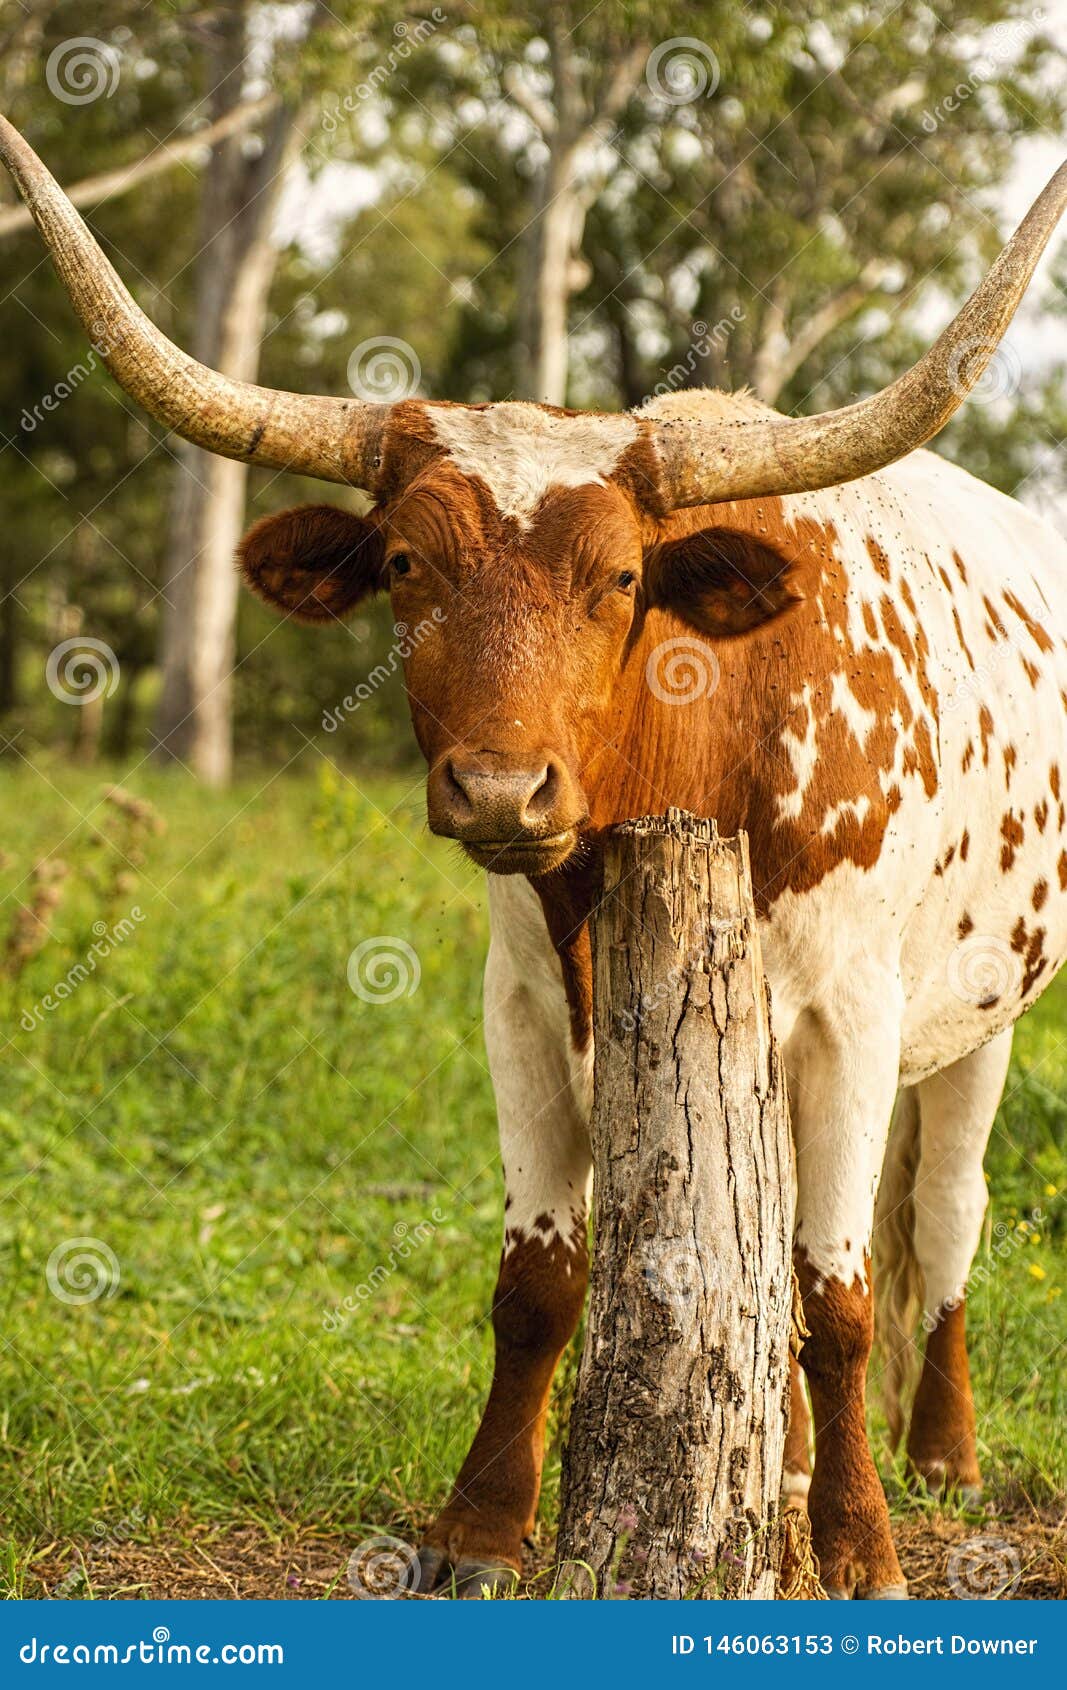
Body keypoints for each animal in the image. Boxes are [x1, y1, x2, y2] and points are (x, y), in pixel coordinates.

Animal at [3, 114, 1066, 1600]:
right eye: (402, 563)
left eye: (619, 580)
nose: (502, 786)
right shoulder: (518, 1002)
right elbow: (540, 1281)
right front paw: (479, 1522)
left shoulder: (848, 1018)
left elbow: (838, 1292)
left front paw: (860, 1545)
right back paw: (785, 1474)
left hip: (980, 1014)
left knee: (942, 1215)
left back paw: (934, 1459)